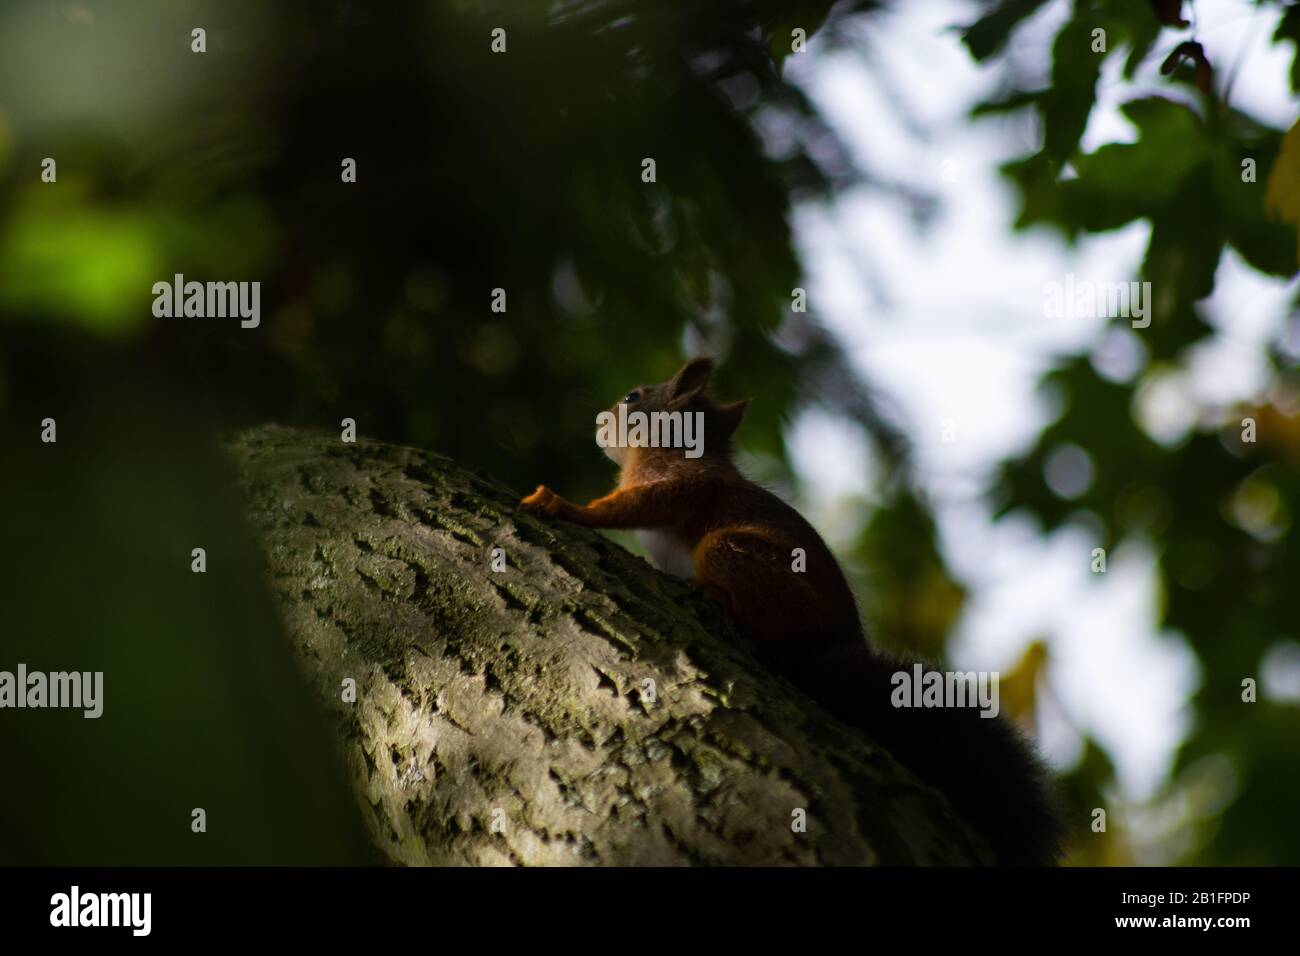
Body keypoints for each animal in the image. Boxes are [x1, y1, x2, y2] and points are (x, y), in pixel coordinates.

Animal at [521, 357, 1064, 865]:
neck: (676, 449)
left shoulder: (683, 483)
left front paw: (565, 506)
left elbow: (634, 506)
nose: (599, 418)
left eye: (633, 397)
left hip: (734, 553)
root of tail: (827, 650)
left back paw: (714, 598)